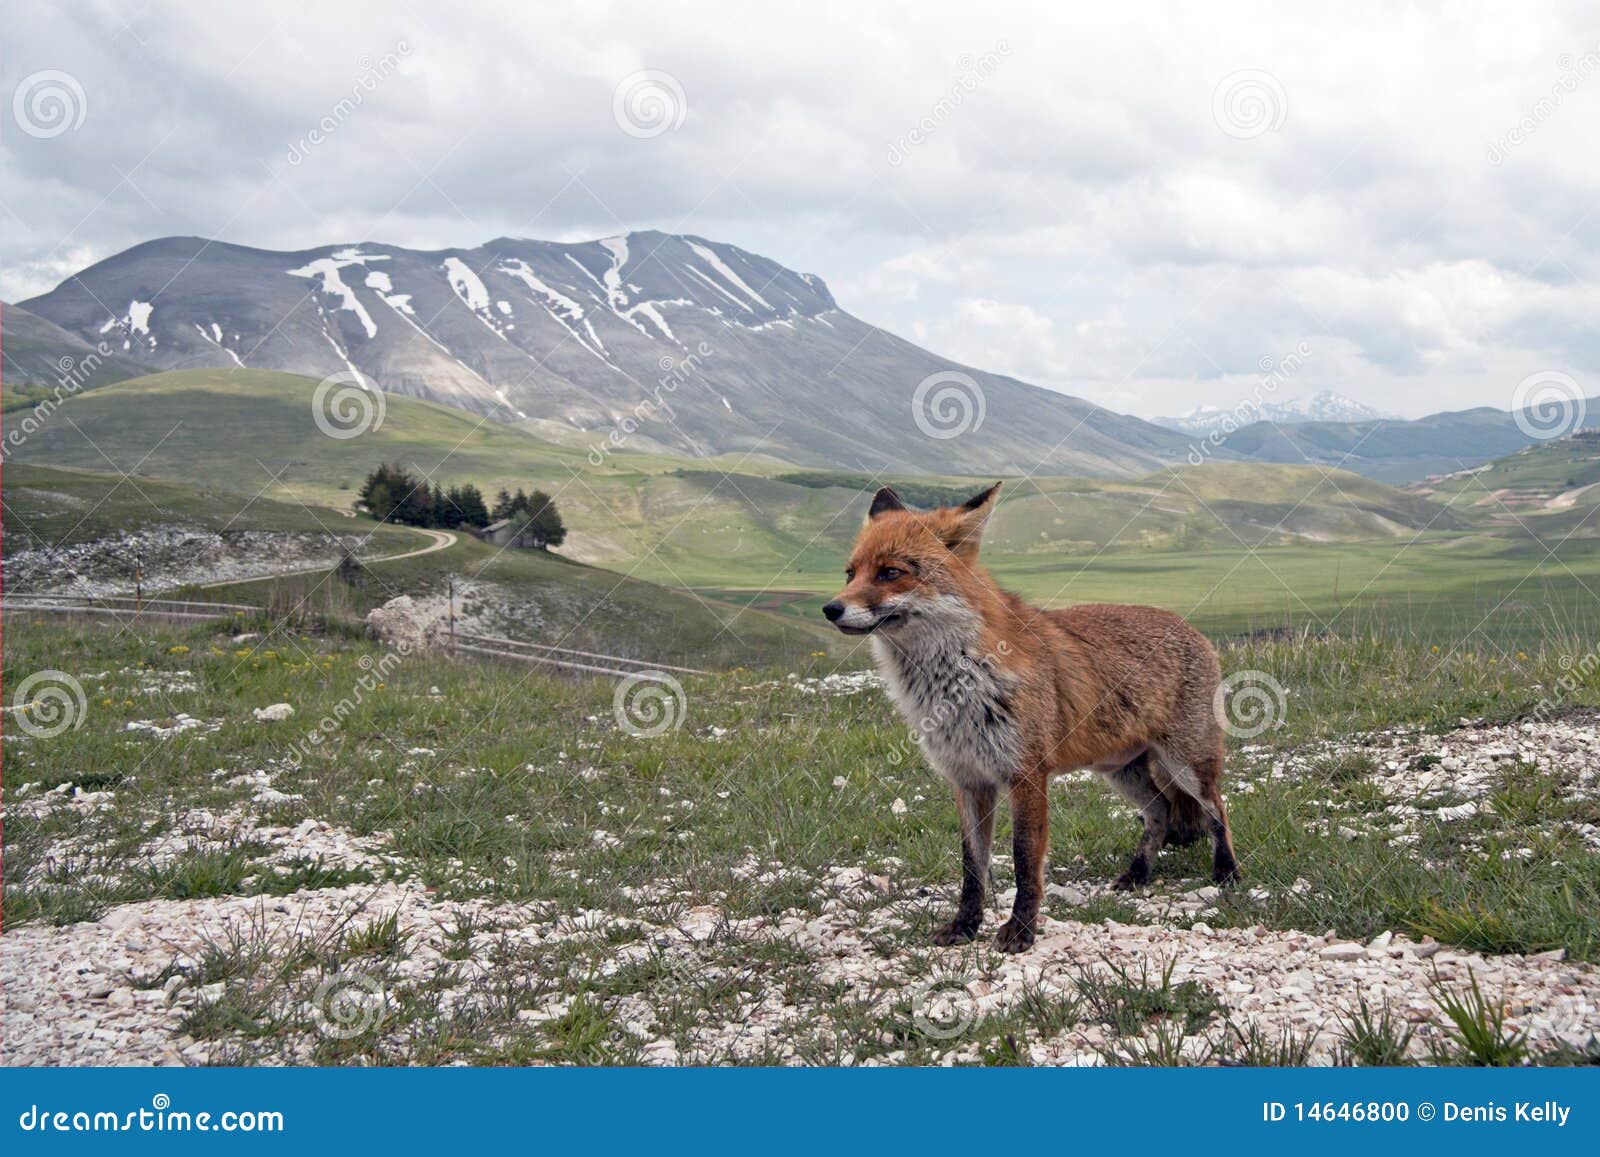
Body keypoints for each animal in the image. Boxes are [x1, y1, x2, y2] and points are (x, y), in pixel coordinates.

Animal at [822, 482, 1238, 953]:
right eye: (850, 574)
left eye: (891, 572)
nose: (830, 609)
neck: (954, 685)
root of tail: (1189, 626)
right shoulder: (968, 780)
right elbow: (972, 866)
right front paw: (964, 926)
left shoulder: (1025, 774)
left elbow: (1024, 860)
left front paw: (1021, 931)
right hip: (1122, 772)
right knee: (1161, 812)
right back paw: (1137, 876)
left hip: (1187, 763)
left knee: (1217, 809)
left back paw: (1227, 873)